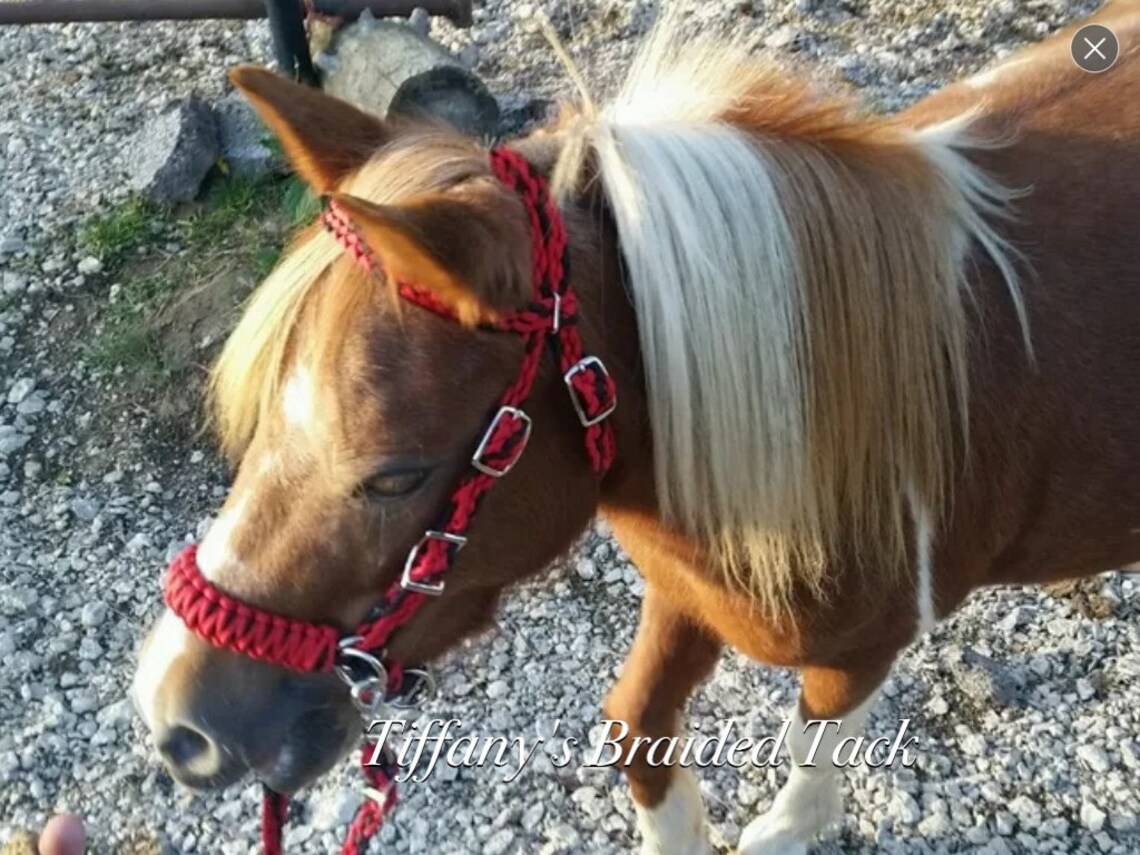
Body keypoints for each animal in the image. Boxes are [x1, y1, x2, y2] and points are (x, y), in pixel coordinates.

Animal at [131, 2, 1140, 852]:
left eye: (394, 473)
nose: (173, 719)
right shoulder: (687, 589)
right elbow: (635, 729)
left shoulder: (861, 651)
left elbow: (804, 768)